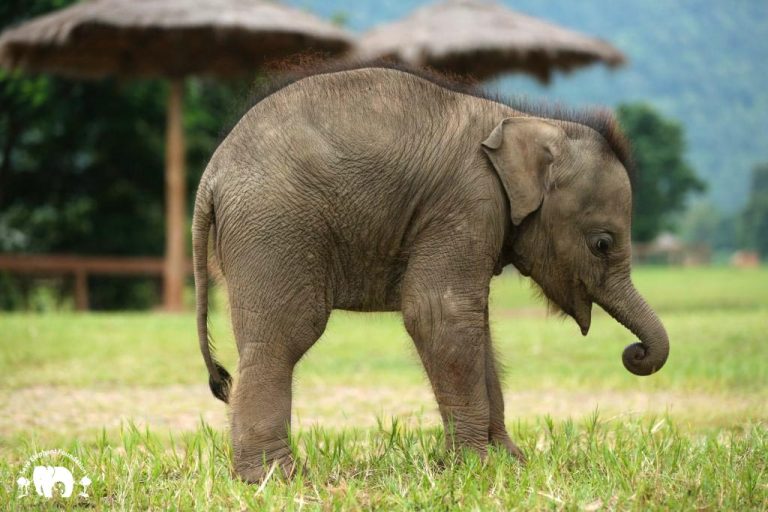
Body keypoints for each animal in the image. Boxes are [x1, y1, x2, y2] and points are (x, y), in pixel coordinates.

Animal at [192, 65, 669, 482]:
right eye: (602, 244)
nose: (634, 353)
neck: (525, 123)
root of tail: (210, 178)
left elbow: (475, 325)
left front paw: (509, 463)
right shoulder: (468, 202)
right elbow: (439, 314)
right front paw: (476, 465)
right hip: (275, 228)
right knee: (283, 337)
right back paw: (275, 479)